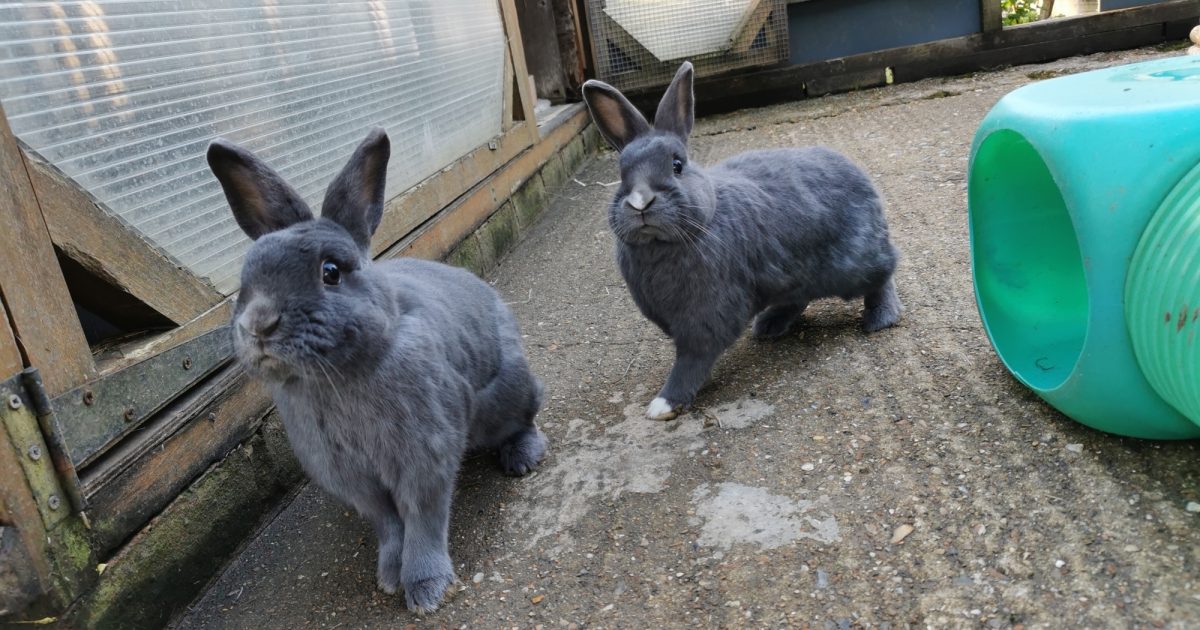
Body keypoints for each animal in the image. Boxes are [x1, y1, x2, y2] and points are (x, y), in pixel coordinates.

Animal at [206, 128, 547, 613]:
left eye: (331, 271)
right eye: (244, 281)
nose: (259, 324)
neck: (341, 374)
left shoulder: (425, 456)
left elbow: (423, 522)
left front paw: (427, 590)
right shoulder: (353, 479)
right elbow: (389, 526)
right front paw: (389, 576)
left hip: (511, 394)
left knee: (525, 421)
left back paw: (522, 458)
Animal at [582, 62, 902, 421]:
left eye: (677, 165)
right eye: (622, 174)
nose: (640, 202)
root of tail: (857, 171)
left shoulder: (707, 318)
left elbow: (691, 361)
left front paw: (664, 404)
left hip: (855, 263)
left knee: (884, 274)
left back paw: (881, 318)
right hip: (794, 272)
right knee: (800, 296)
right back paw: (769, 325)